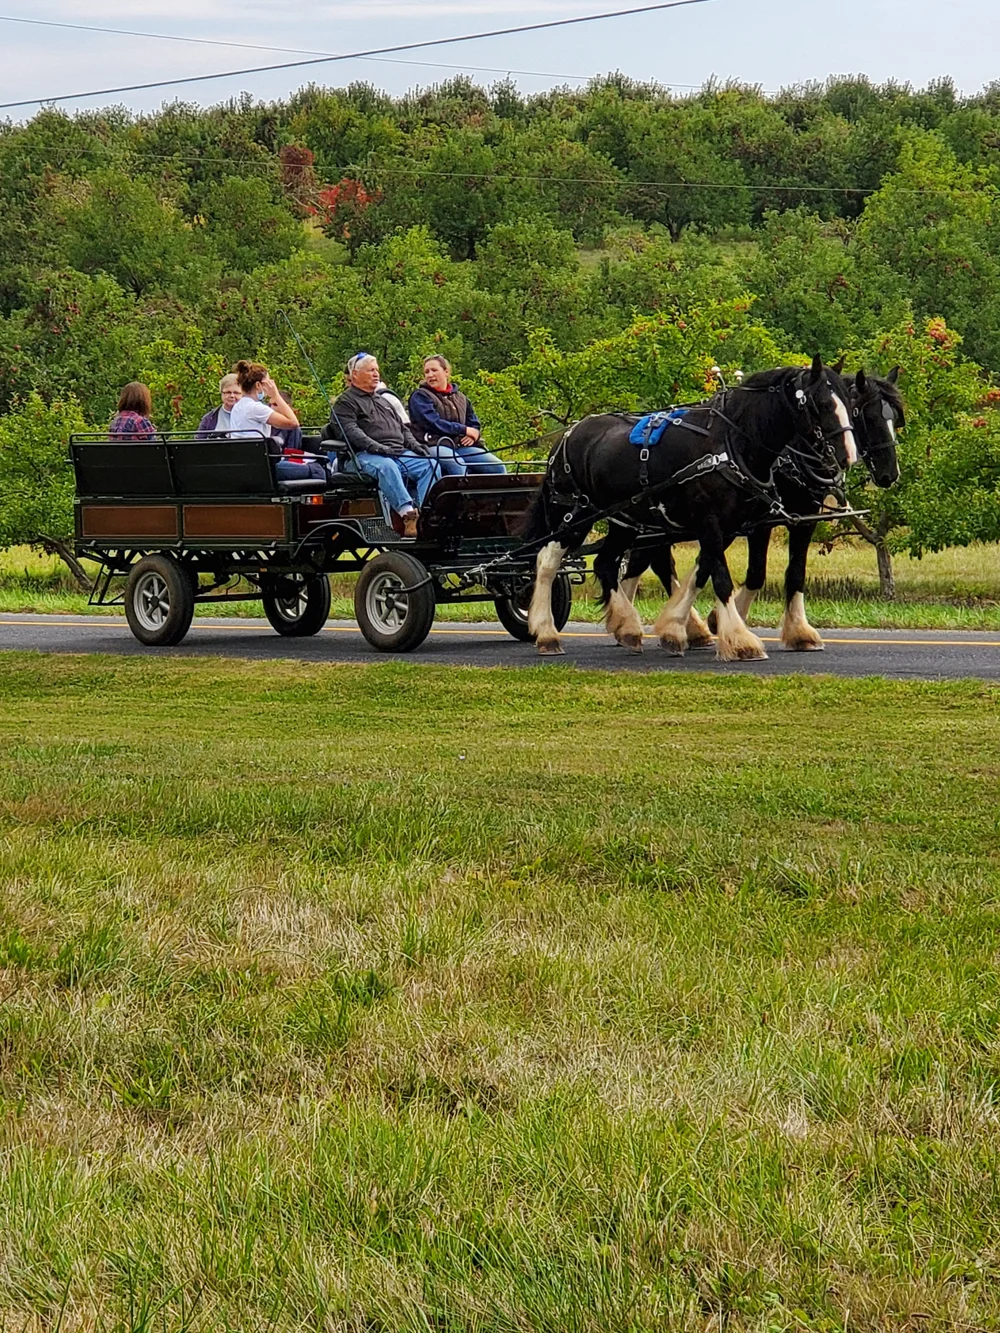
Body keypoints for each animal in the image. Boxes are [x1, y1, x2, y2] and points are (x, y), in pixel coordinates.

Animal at [522, 356, 857, 661]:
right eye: (821, 403)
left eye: (849, 402)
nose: (847, 456)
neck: (729, 443)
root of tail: (566, 436)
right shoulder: (713, 522)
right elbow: (720, 577)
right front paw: (739, 640)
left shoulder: (738, 525)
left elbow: (705, 569)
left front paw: (679, 629)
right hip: (574, 515)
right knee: (548, 561)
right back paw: (547, 633)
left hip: (624, 519)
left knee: (606, 563)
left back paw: (628, 628)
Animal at [615, 368, 903, 653]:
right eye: (867, 416)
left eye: (895, 419)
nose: (890, 474)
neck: (789, 457)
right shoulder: (758, 523)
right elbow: (748, 572)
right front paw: (723, 622)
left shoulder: (803, 520)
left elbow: (794, 573)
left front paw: (798, 632)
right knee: (652, 560)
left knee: (648, 560)